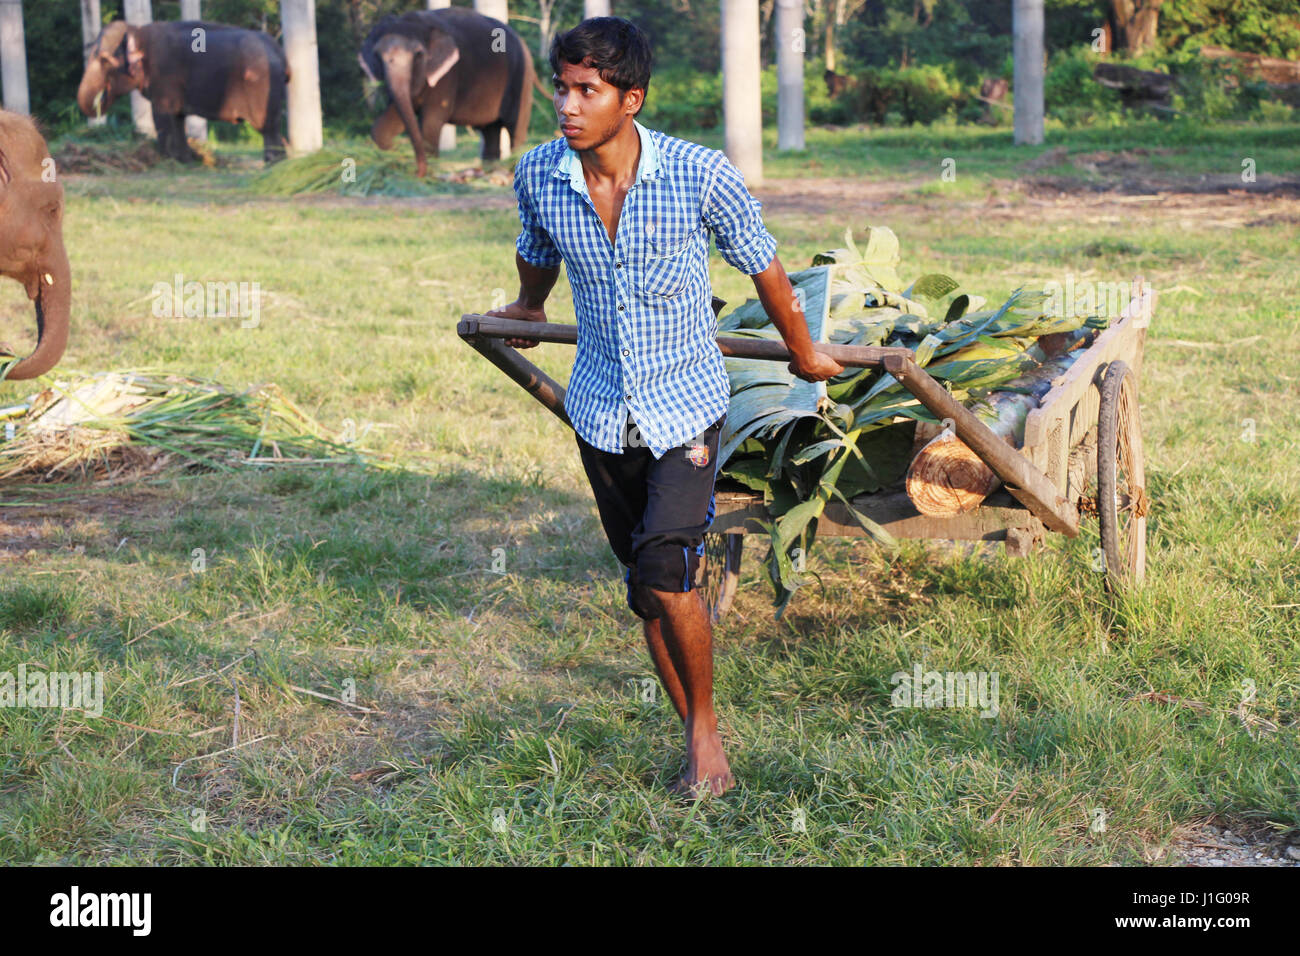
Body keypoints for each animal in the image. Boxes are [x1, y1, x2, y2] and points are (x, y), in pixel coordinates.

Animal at [77, 20, 289, 164]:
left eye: (104, 60)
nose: (99, 102)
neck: (138, 30)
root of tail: (280, 52)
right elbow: (177, 118)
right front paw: (185, 160)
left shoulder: (164, 76)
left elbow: (161, 116)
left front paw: (164, 160)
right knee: (273, 128)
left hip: (262, 88)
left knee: (268, 129)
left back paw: (273, 165)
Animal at [359, 8, 550, 178]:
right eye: (377, 56)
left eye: (419, 55)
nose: (417, 173)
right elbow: (385, 126)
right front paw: (394, 158)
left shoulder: (448, 76)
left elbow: (431, 123)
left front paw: (430, 174)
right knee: (490, 131)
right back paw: (489, 172)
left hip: (521, 80)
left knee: (515, 129)